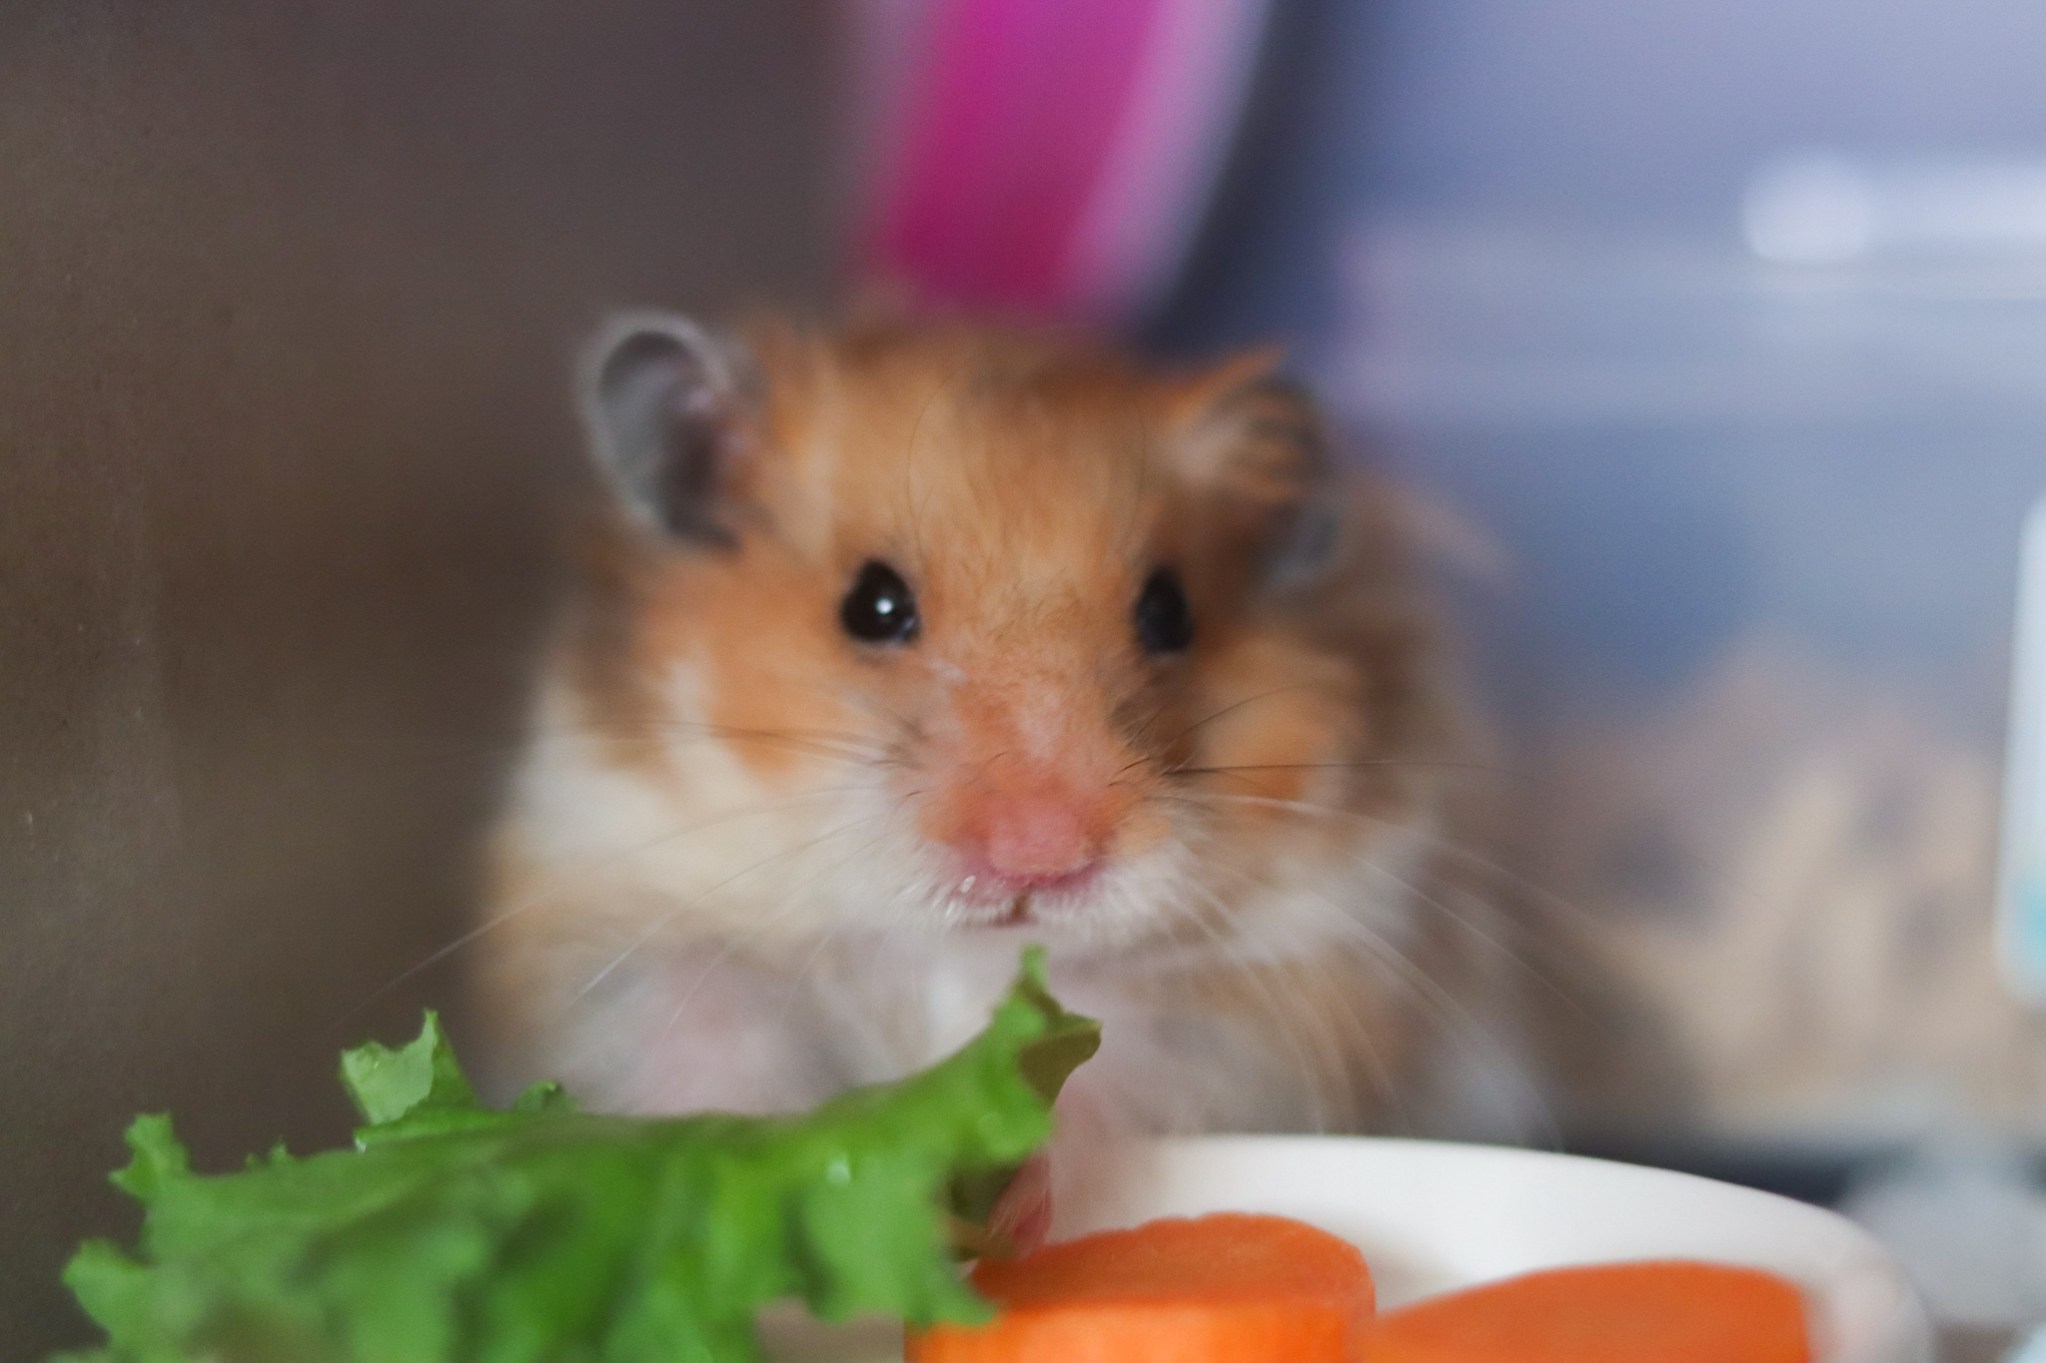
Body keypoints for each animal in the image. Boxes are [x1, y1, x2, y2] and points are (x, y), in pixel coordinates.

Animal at [473, 313, 1474, 1139]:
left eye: (1170, 614)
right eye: (872, 604)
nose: (1039, 856)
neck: (950, 951)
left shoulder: (1289, 984)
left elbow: (1120, 1067)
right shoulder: (624, 915)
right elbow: (700, 1044)